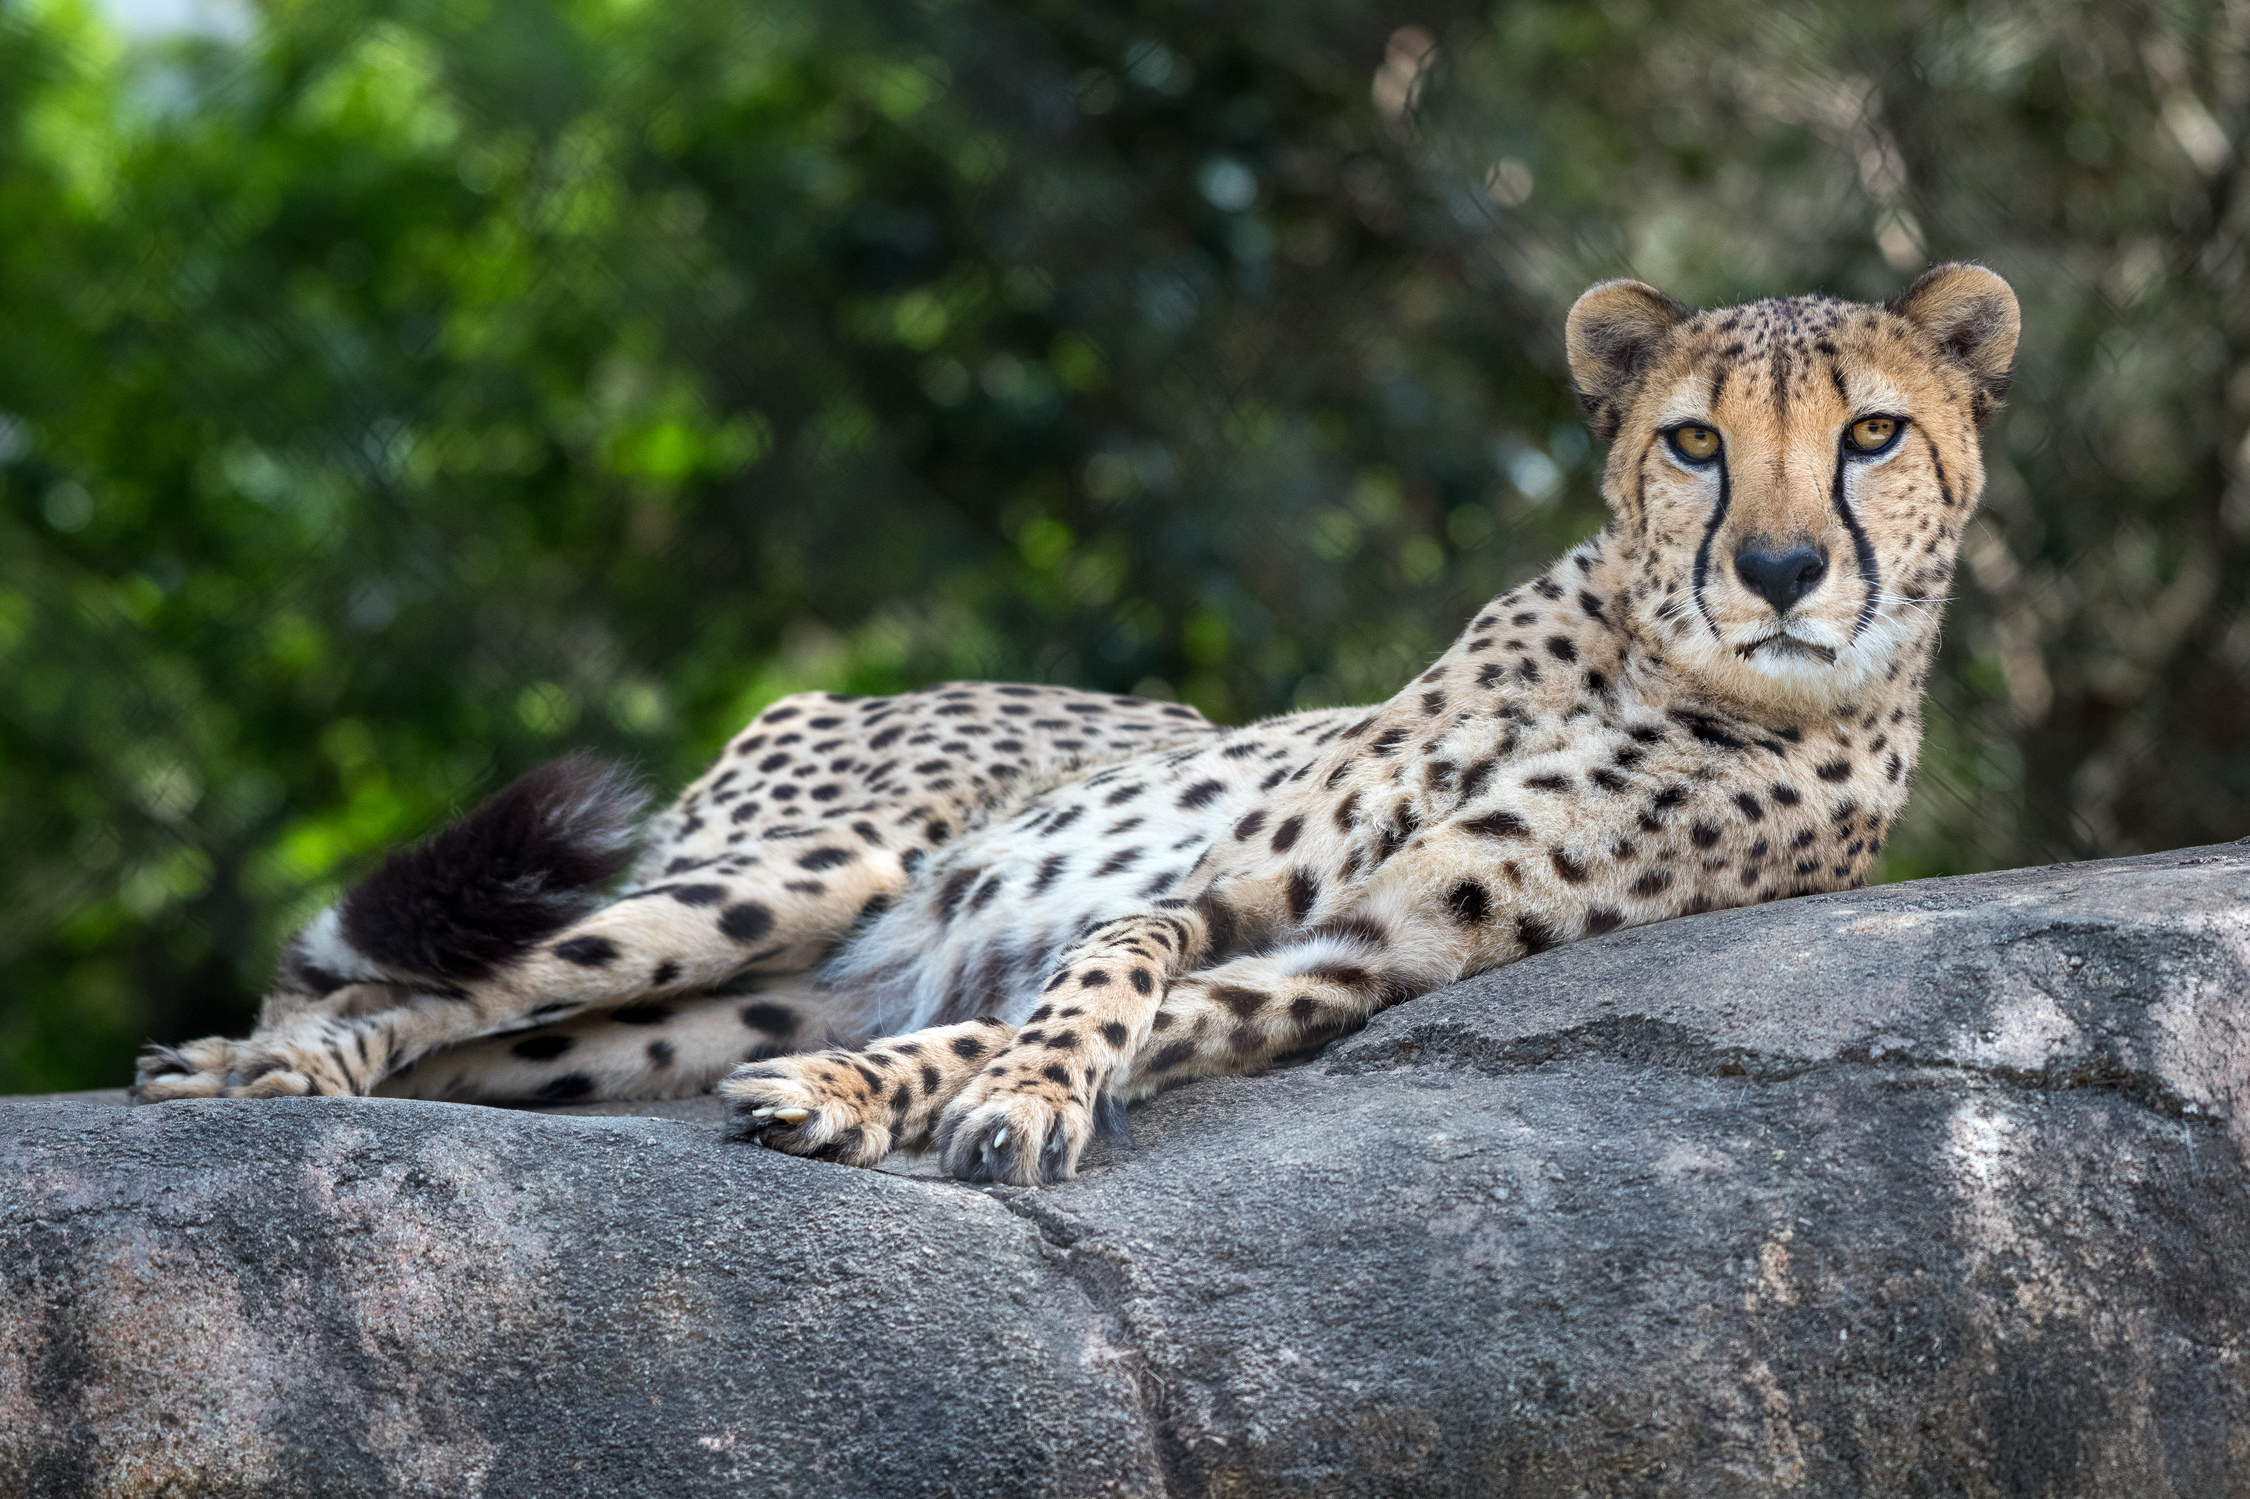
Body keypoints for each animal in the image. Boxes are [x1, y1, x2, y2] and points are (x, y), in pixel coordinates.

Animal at [133, 262, 2021, 1189]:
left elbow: (1103, 1017)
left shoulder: (1368, 957)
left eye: (1868, 434)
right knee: (437, 977)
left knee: (484, 1037)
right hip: (796, 866)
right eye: (1695, 441)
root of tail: (827, 689)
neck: (1665, 668)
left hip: (691, 1013)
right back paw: (255, 1061)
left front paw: (913, 1094)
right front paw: (1010, 1086)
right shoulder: (1231, 874)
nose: (1776, 569)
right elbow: (1110, 958)